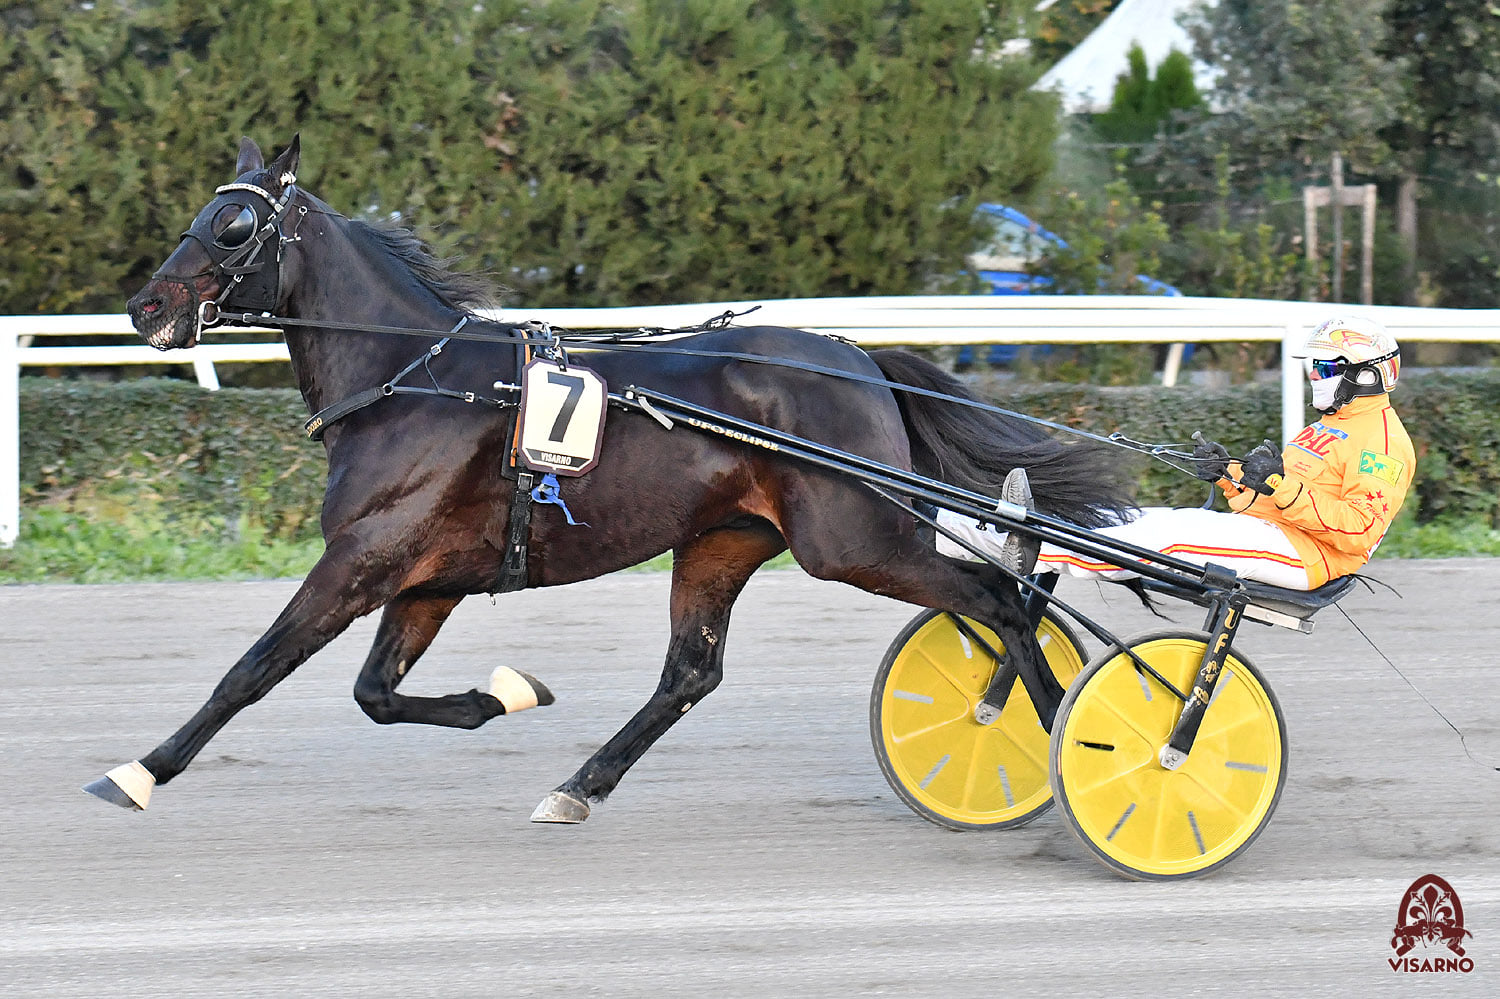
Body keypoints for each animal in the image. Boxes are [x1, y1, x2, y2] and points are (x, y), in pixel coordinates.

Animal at [91, 135, 1134, 823]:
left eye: (234, 223)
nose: (146, 305)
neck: (414, 380)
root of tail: (856, 358)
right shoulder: (426, 577)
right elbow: (375, 692)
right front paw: (505, 694)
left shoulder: (363, 556)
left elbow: (253, 669)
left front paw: (140, 770)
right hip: (726, 538)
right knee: (692, 671)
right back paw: (578, 784)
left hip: (855, 539)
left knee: (1005, 598)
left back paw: (1068, 730)